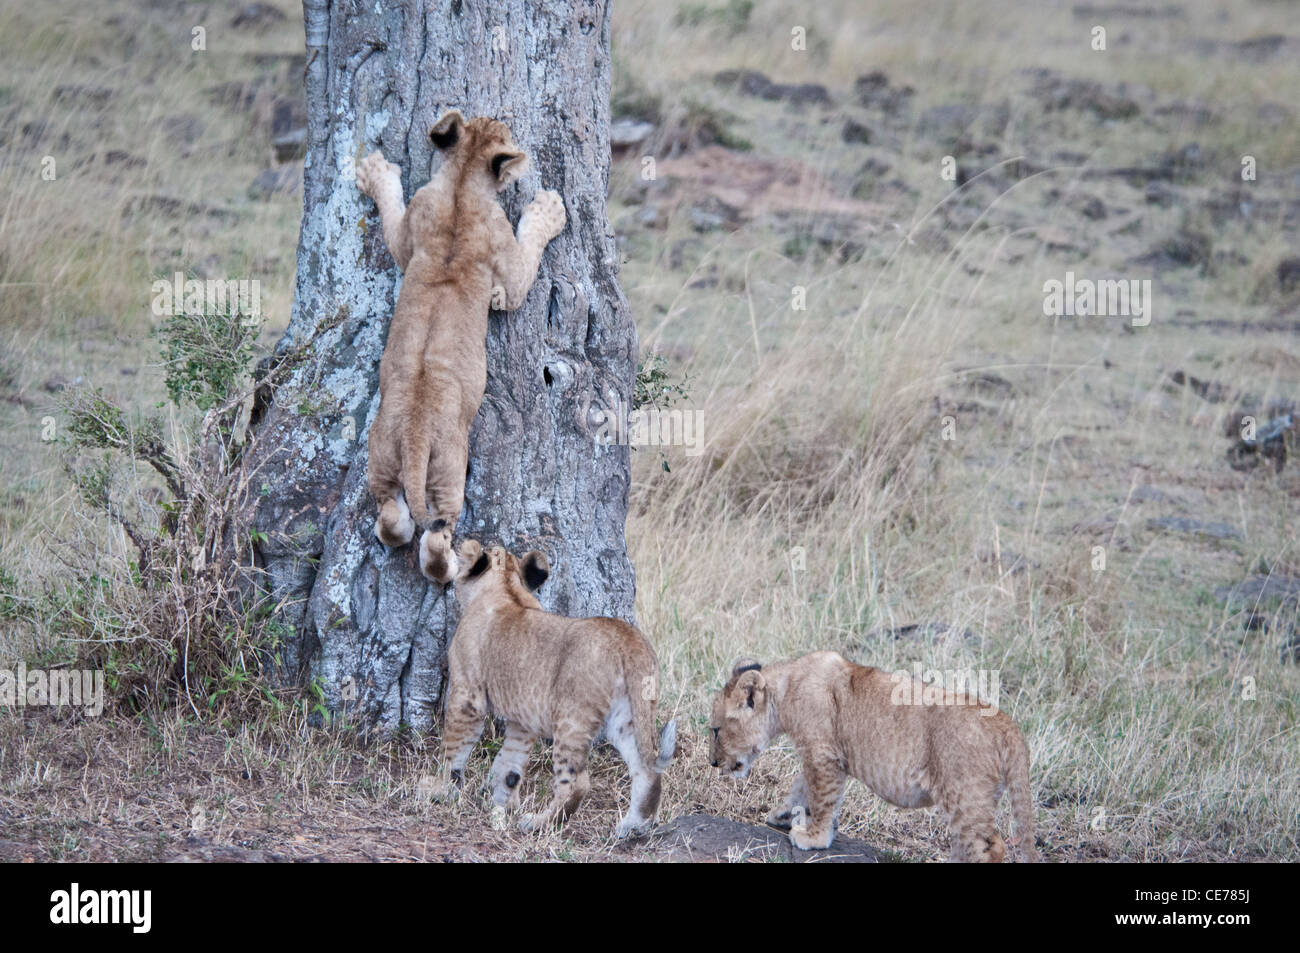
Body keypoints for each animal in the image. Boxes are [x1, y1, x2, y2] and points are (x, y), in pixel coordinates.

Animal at [355, 111, 566, 583]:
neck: (462, 184)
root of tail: (414, 438)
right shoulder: (508, 260)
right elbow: (524, 263)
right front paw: (550, 209)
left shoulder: (412, 224)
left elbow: (393, 216)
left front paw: (372, 172)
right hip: (450, 471)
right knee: (436, 534)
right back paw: (450, 565)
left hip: (380, 457)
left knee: (391, 515)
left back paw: (391, 531)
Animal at [438, 540, 677, 838]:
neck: (505, 586)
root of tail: (627, 637)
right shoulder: (523, 720)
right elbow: (509, 765)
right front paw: (500, 804)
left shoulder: (467, 695)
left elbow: (454, 750)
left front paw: (439, 791)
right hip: (629, 716)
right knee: (646, 769)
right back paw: (633, 826)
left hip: (572, 718)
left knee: (577, 782)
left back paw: (538, 823)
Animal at [708, 651, 1039, 862]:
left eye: (715, 730)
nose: (712, 762)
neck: (787, 685)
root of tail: (1007, 724)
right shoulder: (819, 753)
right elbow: (801, 786)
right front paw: (784, 814)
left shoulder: (824, 756)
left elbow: (822, 799)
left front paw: (813, 837)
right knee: (966, 843)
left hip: (963, 794)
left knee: (990, 847)